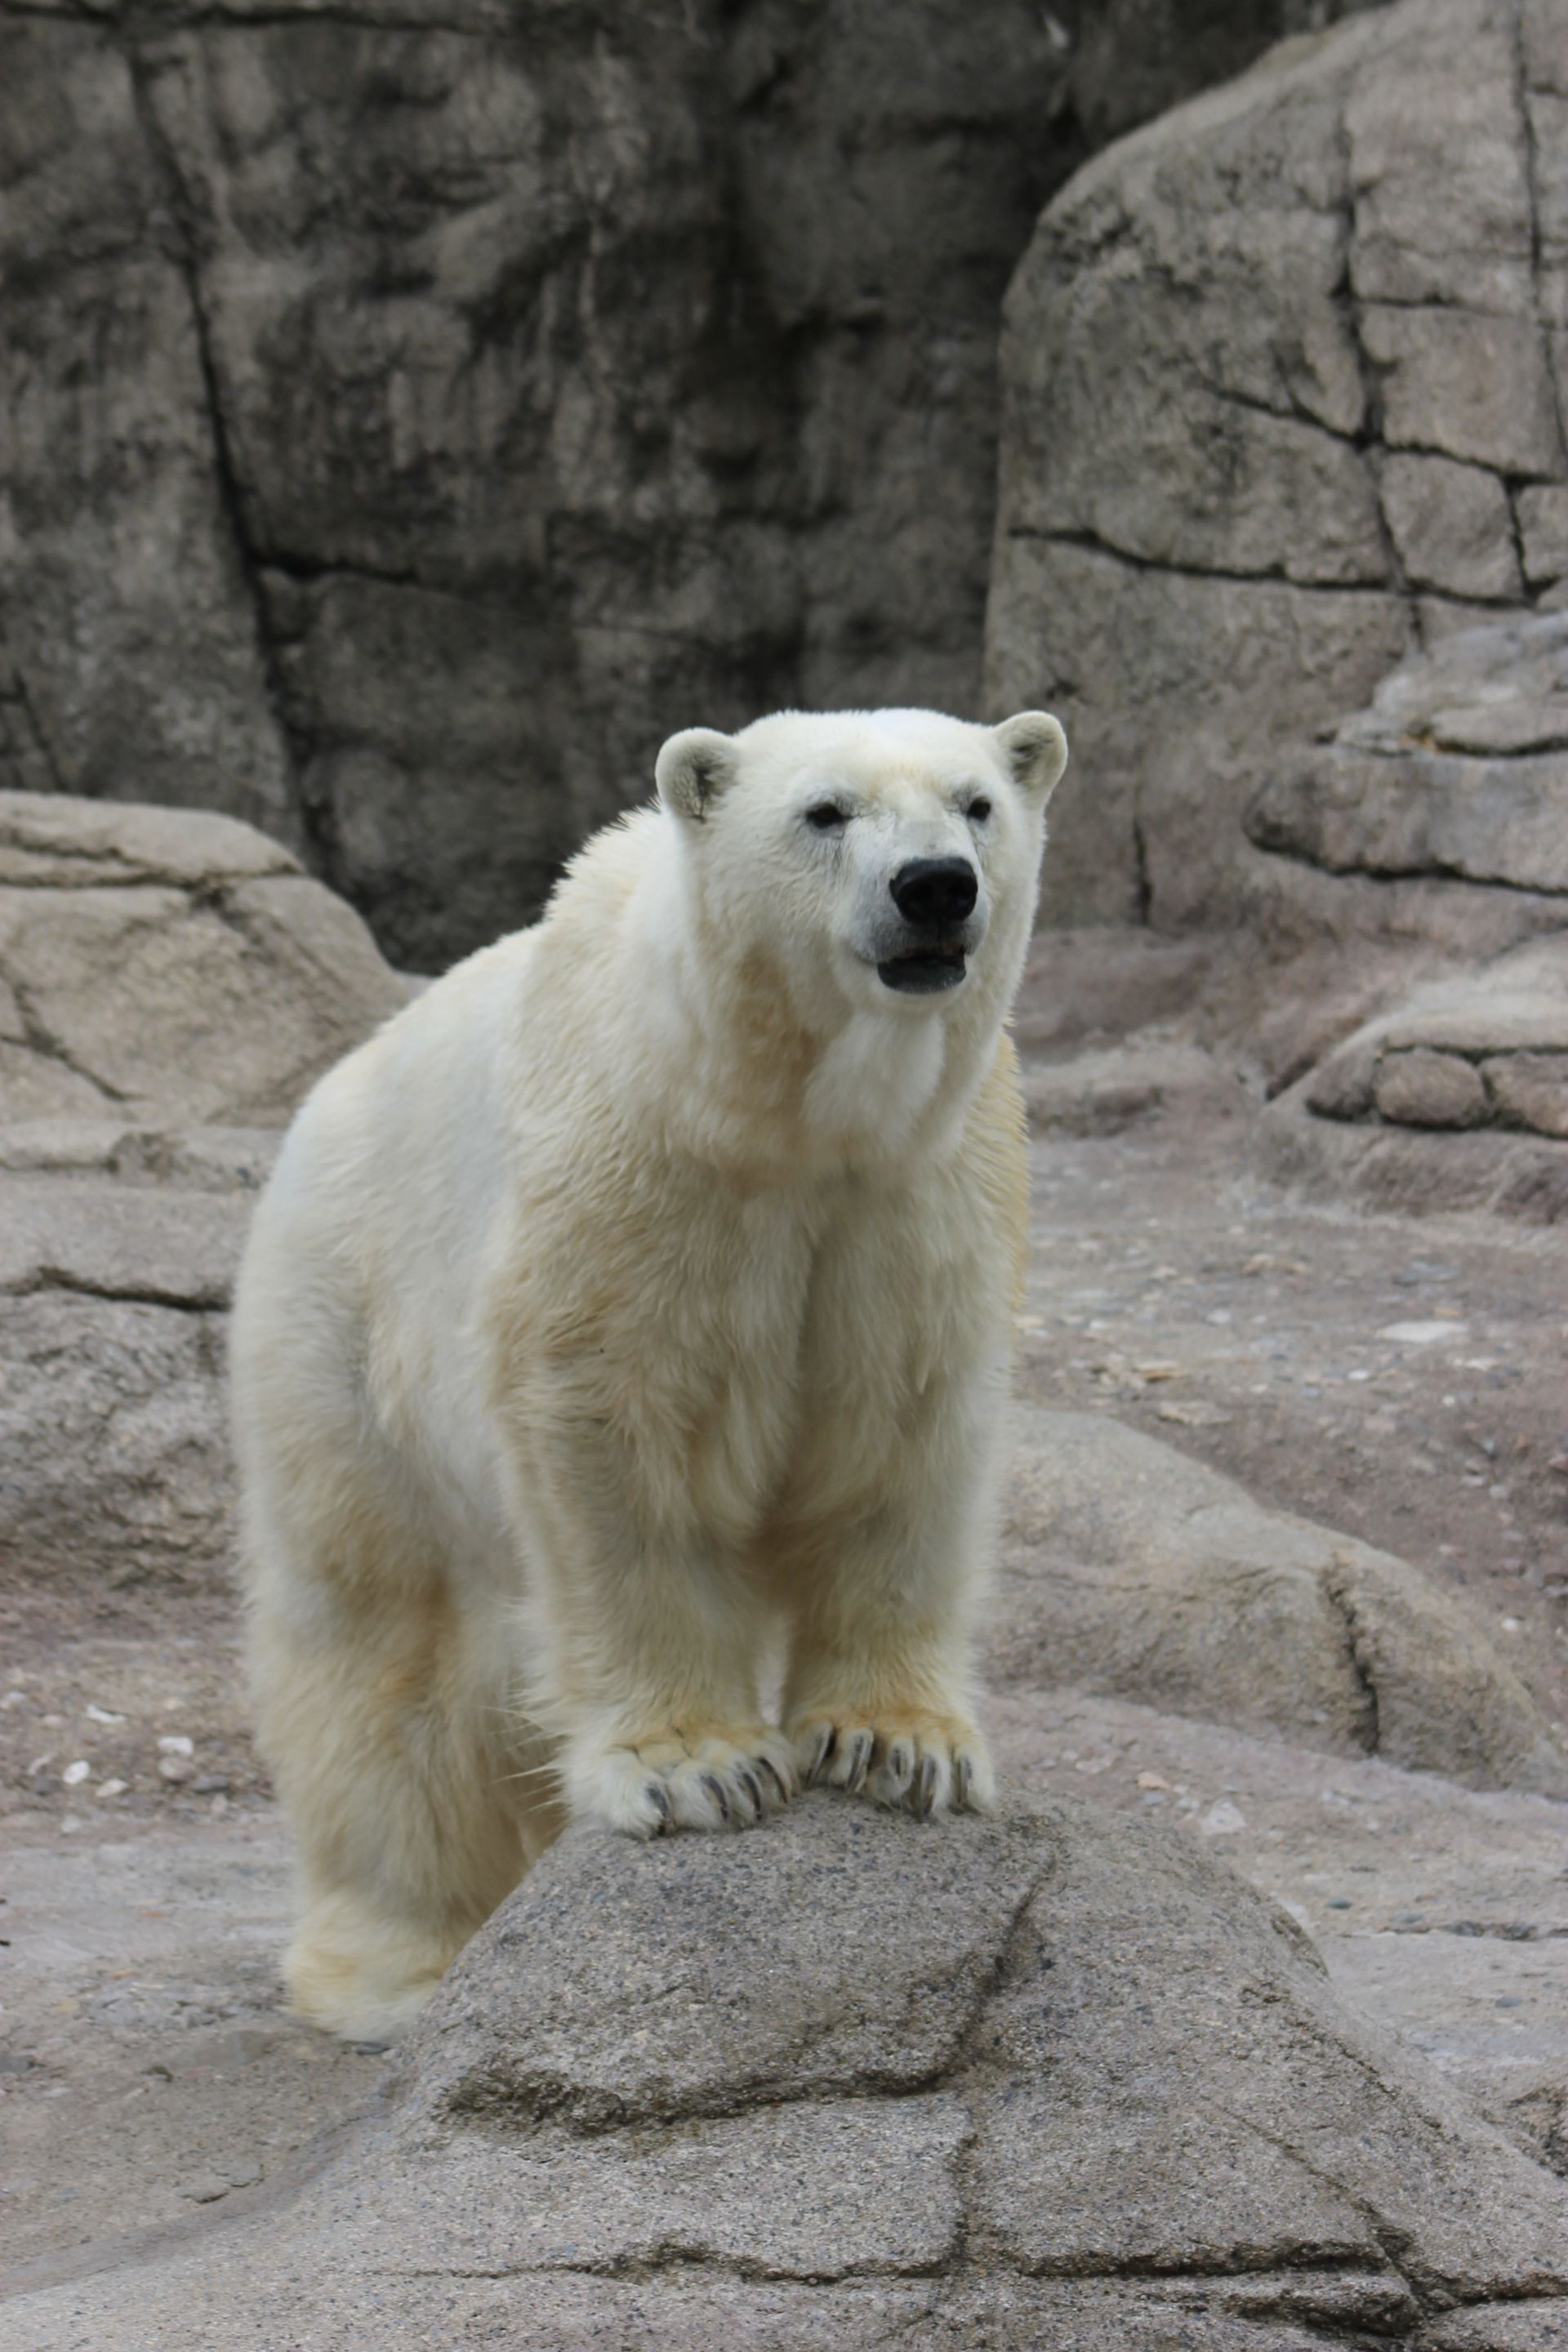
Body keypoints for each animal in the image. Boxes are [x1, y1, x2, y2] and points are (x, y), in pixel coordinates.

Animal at [229, 704, 1069, 2043]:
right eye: (825, 811)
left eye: (977, 803)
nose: (935, 888)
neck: (780, 1112)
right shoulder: (641, 1175)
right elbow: (621, 1447)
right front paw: (700, 1769)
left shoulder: (918, 1197)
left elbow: (901, 1436)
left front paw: (900, 1749)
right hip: (338, 1339)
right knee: (374, 1647)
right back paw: (393, 1965)